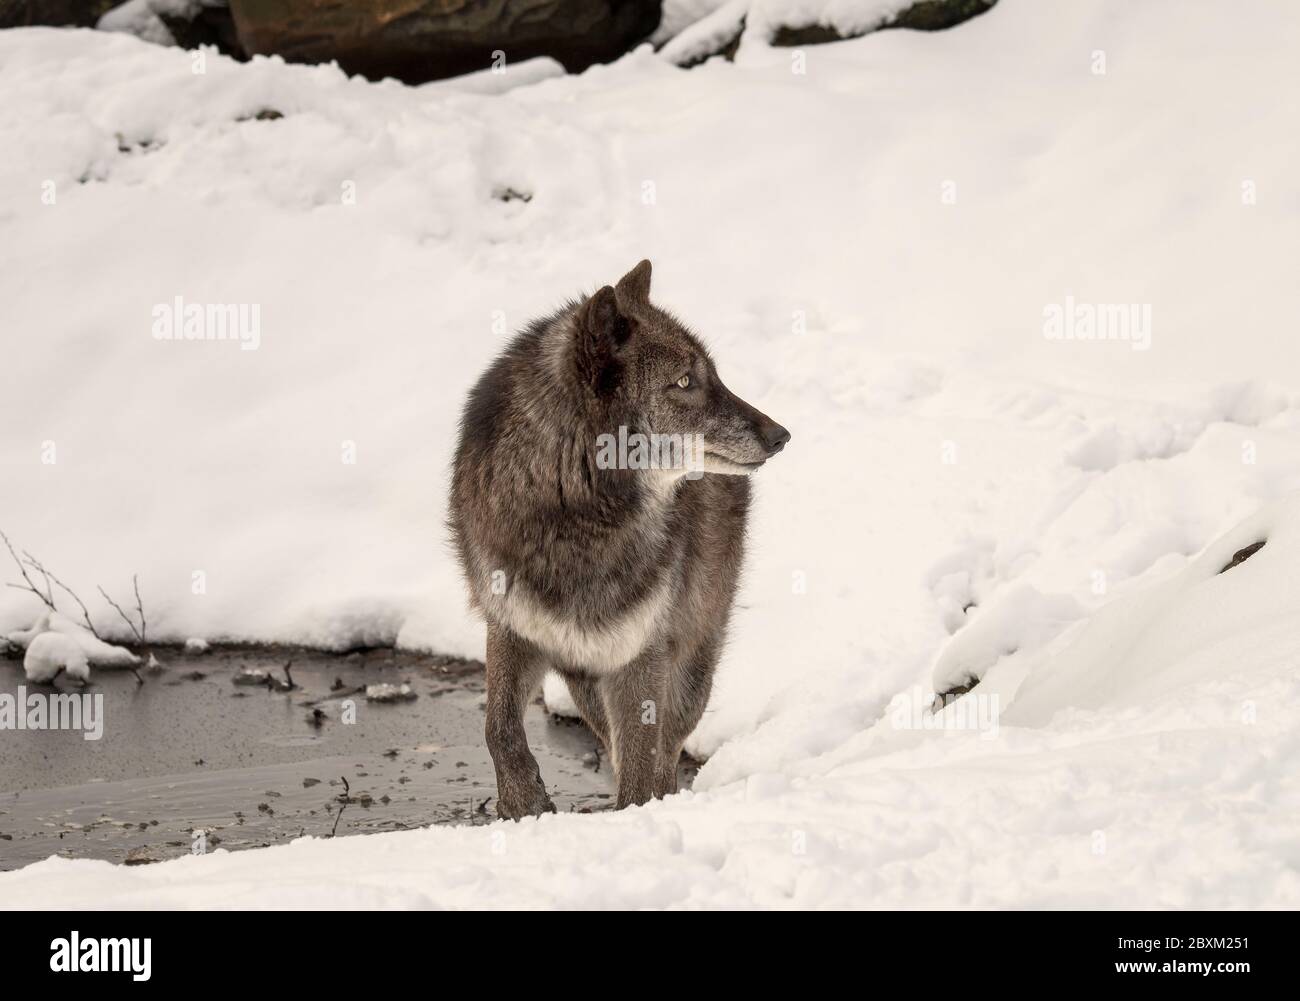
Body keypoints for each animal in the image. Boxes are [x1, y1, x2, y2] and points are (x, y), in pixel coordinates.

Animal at [450, 260, 790, 818]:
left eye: (712, 375)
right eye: (684, 381)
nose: (780, 435)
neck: (578, 518)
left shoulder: (640, 653)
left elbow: (641, 763)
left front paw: (634, 817)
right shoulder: (512, 626)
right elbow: (497, 727)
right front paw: (525, 804)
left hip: (693, 657)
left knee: (666, 748)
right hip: (583, 676)